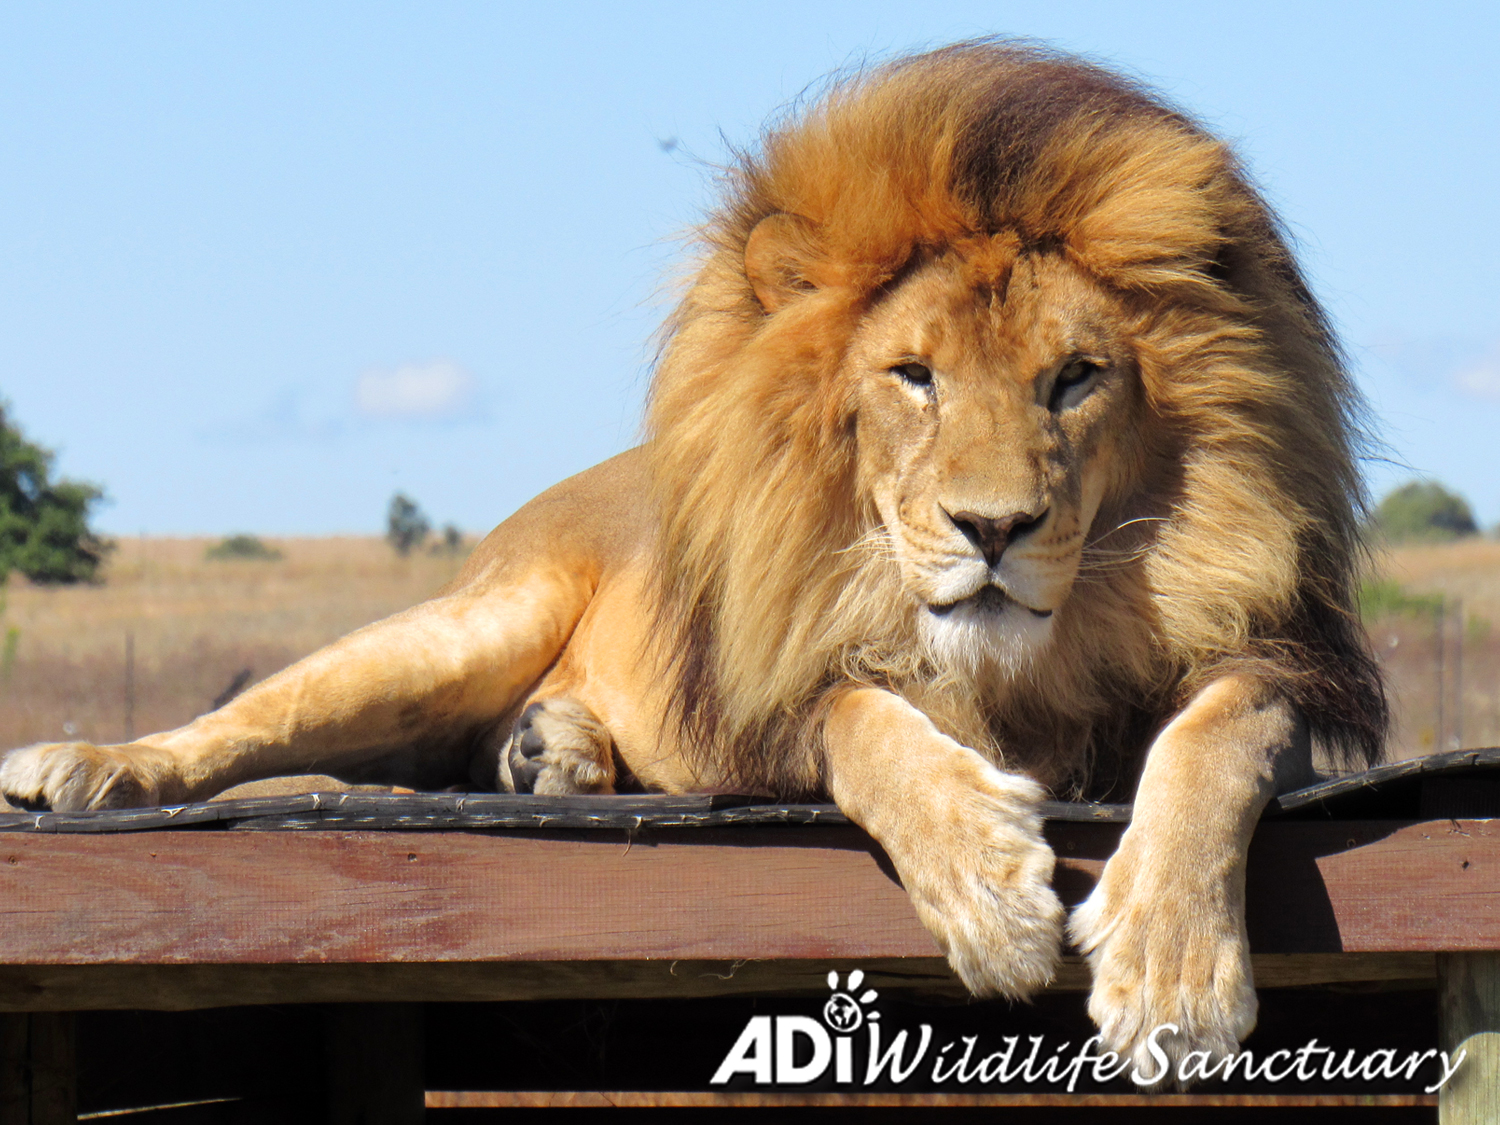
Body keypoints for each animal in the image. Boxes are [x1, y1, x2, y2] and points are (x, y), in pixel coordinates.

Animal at [0, 41, 1385, 1073]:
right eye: (914, 377)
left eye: (1077, 378)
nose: (992, 529)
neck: (1010, 663)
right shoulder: (770, 701)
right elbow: (864, 726)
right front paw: (989, 891)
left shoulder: (1263, 657)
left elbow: (1218, 738)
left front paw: (1173, 971)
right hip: (466, 626)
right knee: (260, 730)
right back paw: (91, 765)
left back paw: (550, 754)